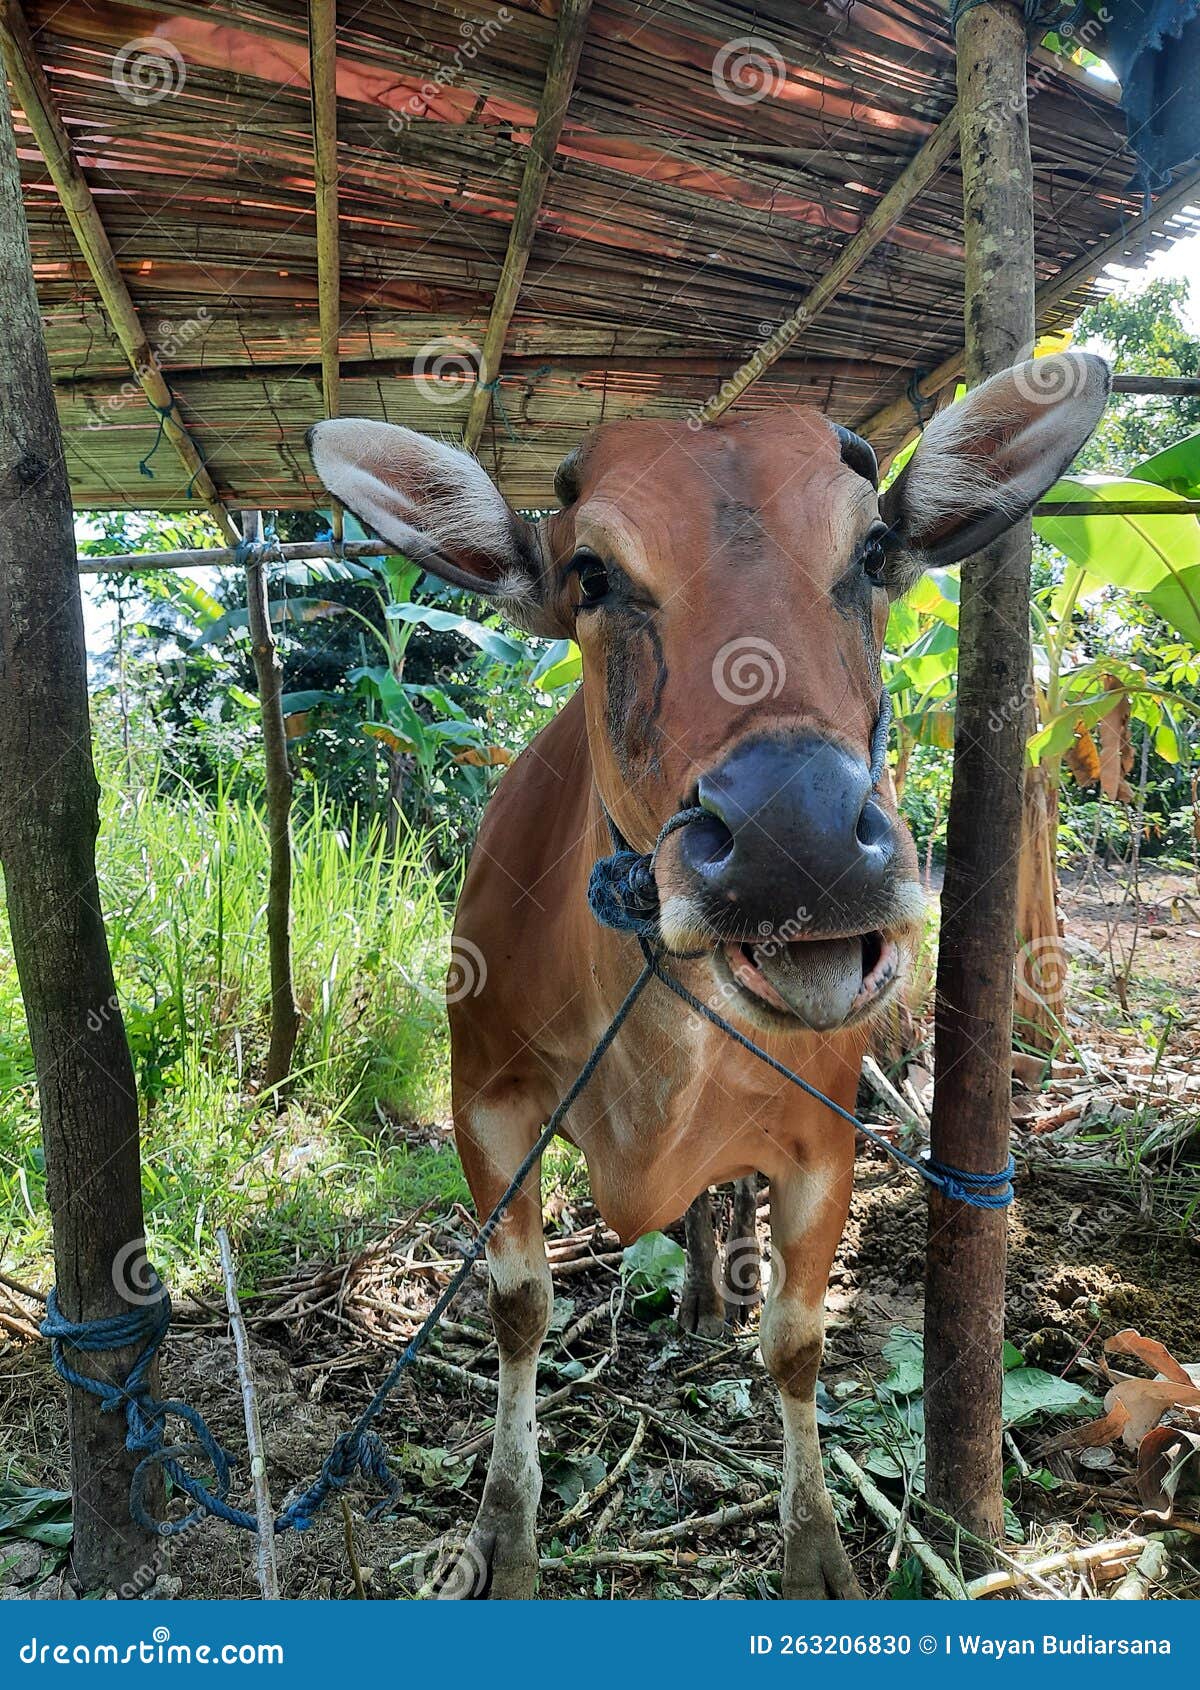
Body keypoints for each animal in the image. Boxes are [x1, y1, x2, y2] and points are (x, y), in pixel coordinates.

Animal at [309, 350, 1109, 1598]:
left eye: (872, 551)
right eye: (592, 572)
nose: (801, 841)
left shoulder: (823, 1137)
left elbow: (796, 1340)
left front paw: (816, 1544)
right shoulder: (483, 1103)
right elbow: (518, 1307)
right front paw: (505, 1530)